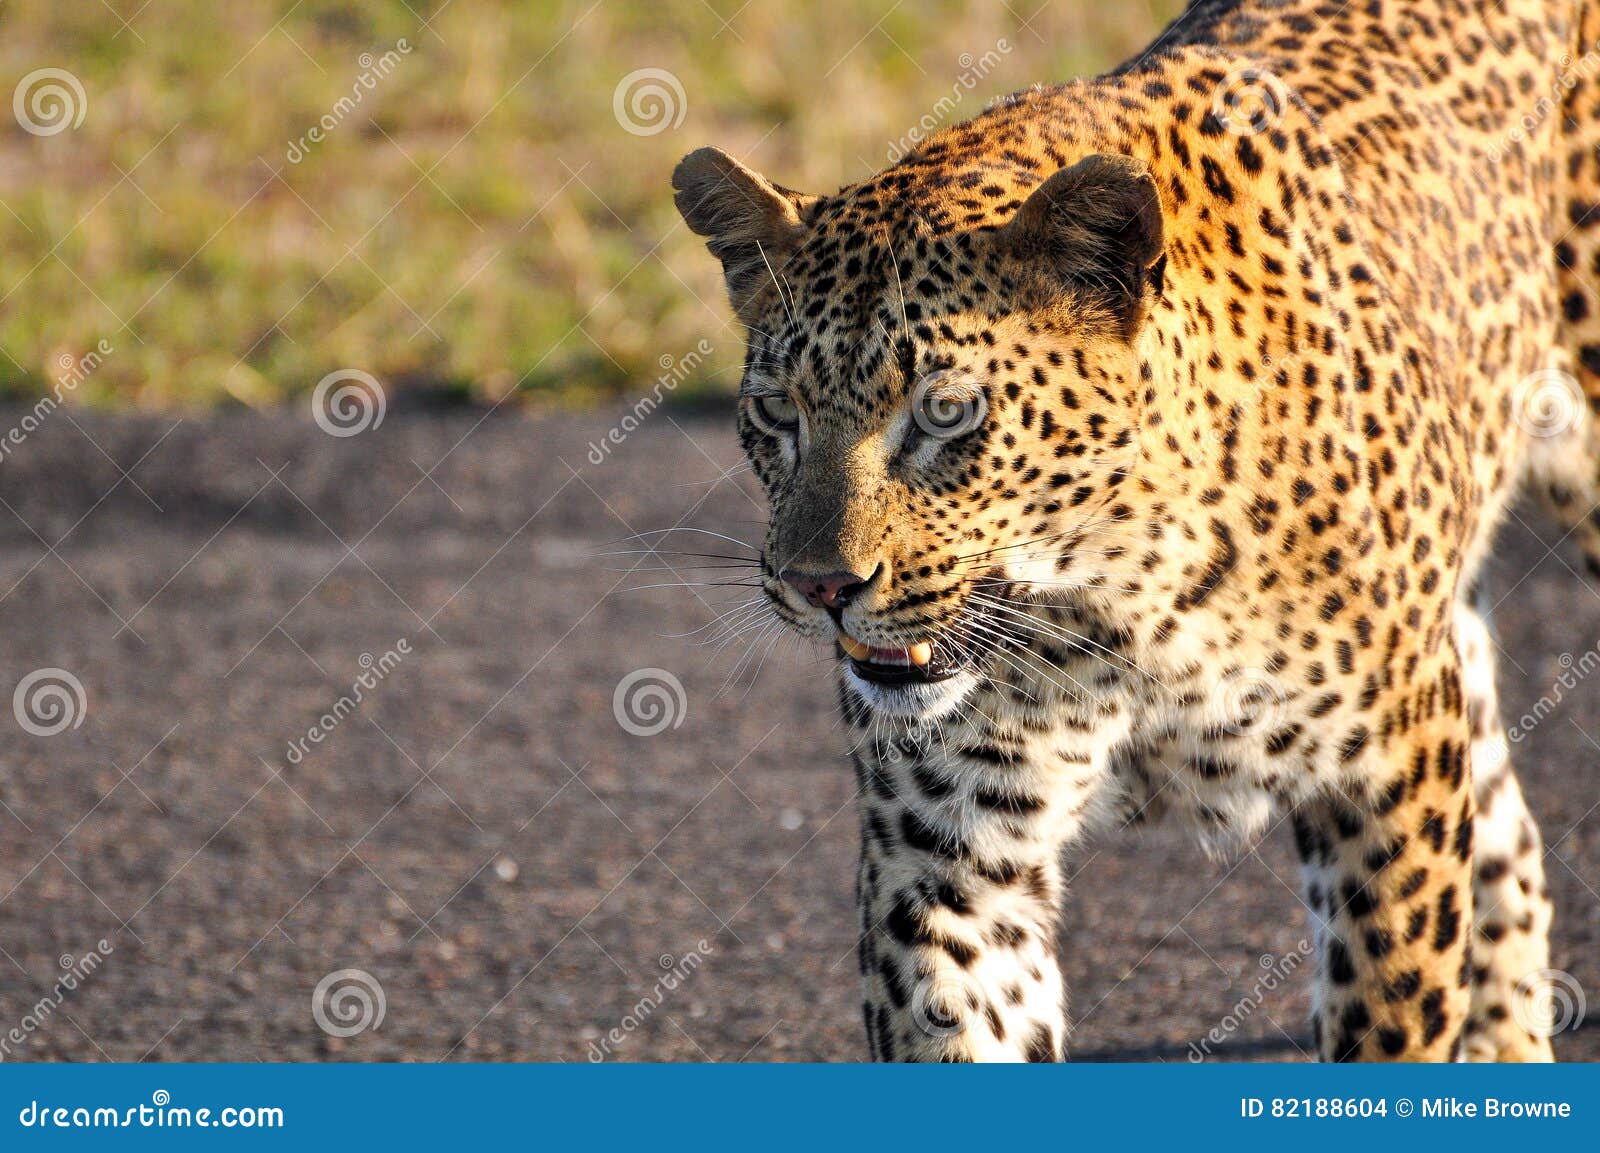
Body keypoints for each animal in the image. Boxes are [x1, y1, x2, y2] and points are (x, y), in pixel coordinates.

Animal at [671, 0, 1600, 1061]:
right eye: (776, 412)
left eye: (946, 412)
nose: (819, 585)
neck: (1113, 606)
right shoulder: (951, 861)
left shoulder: (1389, 783)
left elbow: (1391, 1018)